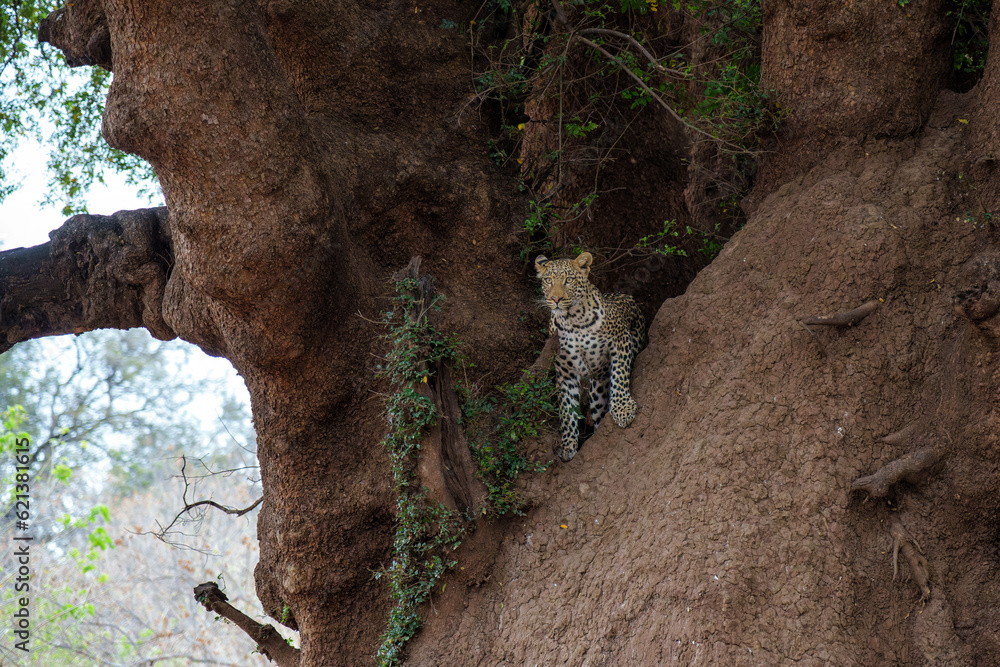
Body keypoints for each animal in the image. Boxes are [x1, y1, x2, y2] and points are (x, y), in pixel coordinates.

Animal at [535, 251, 647, 462]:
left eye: (569, 280)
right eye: (548, 280)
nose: (555, 298)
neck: (572, 321)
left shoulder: (621, 340)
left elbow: (619, 376)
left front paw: (623, 410)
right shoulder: (564, 369)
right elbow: (566, 408)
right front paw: (567, 445)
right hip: (595, 392)